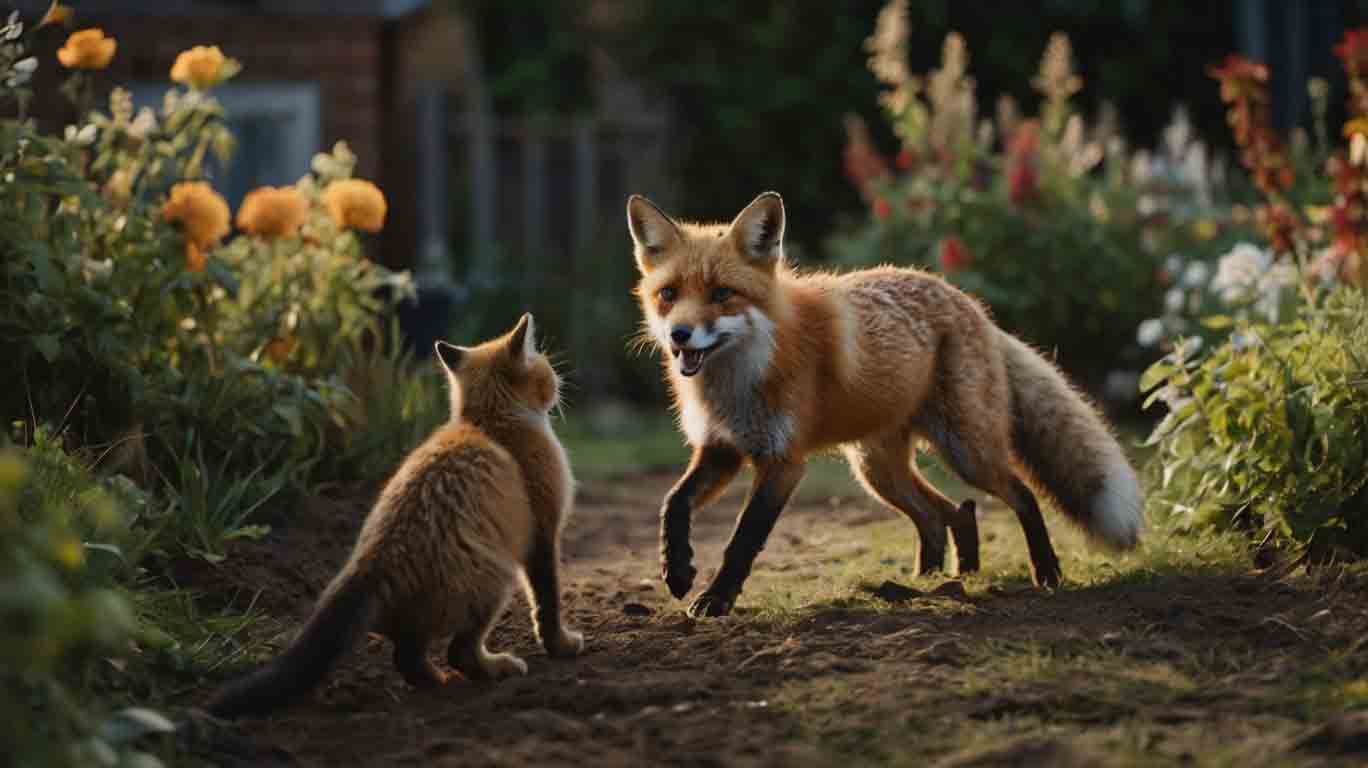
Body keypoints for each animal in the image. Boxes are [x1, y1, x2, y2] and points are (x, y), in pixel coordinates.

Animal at [206, 314, 583, 718]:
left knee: (407, 656)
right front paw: (561, 645)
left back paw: (434, 680)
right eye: (545, 366)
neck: (486, 424)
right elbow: (547, 602)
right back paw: (495, 668)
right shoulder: (542, 537)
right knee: (458, 652)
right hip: (497, 578)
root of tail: (371, 566)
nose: (559, 384)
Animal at [627, 191, 1144, 618]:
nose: (679, 336)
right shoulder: (721, 449)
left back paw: (1045, 571)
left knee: (1021, 495)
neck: (738, 380)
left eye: (722, 294)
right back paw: (939, 577)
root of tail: (973, 304)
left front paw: (716, 599)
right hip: (878, 470)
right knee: (943, 513)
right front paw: (677, 571)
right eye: (668, 295)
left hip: (966, 451)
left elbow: (743, 537)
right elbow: (673, 505)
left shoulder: (783, 461)